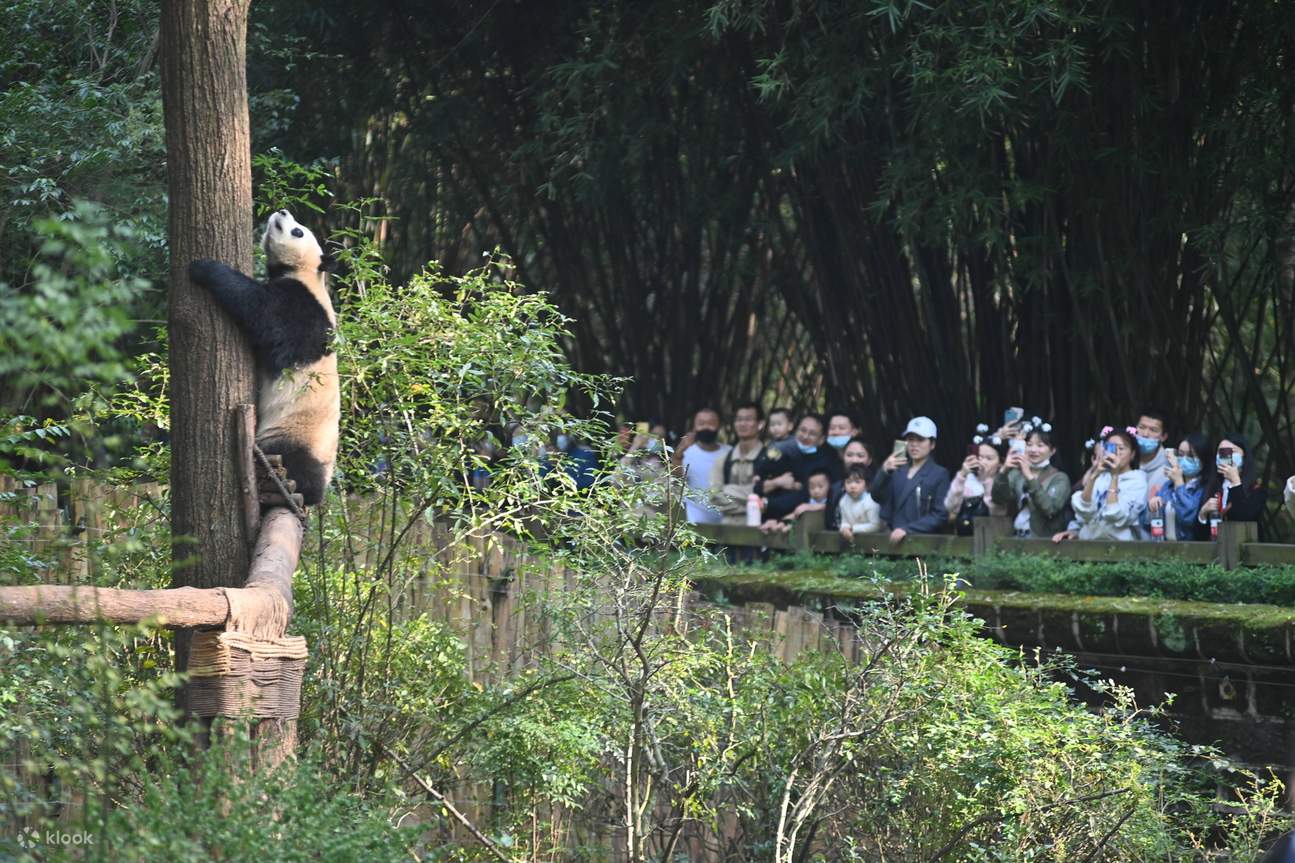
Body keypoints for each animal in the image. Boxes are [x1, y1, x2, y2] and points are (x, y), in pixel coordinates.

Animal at [188, 209, 340, 506]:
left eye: (298, 231)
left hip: (294, 434)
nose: (282, 211)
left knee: (295, 463)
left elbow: (260, 310)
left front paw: (204, 268)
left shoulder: (301, 309)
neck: (307, 274)